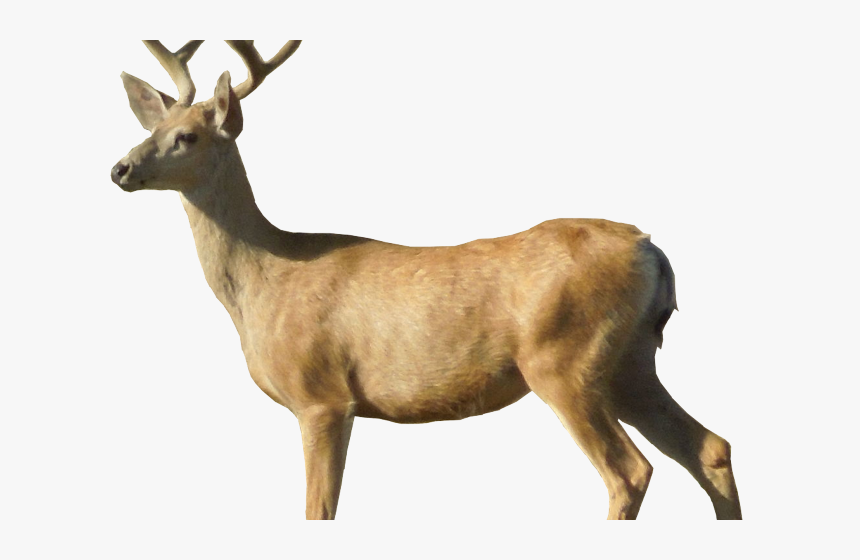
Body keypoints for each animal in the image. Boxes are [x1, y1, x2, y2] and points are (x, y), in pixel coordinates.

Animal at [110, 40, 742, 520]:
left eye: (188, 136)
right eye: (152, 127)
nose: (120, 167)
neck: (265, 280)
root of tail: (650, 247)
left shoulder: (322, 396)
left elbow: (319, 509)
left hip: (563, 358)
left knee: (631, 471)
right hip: (630, 359)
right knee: (711, 448)